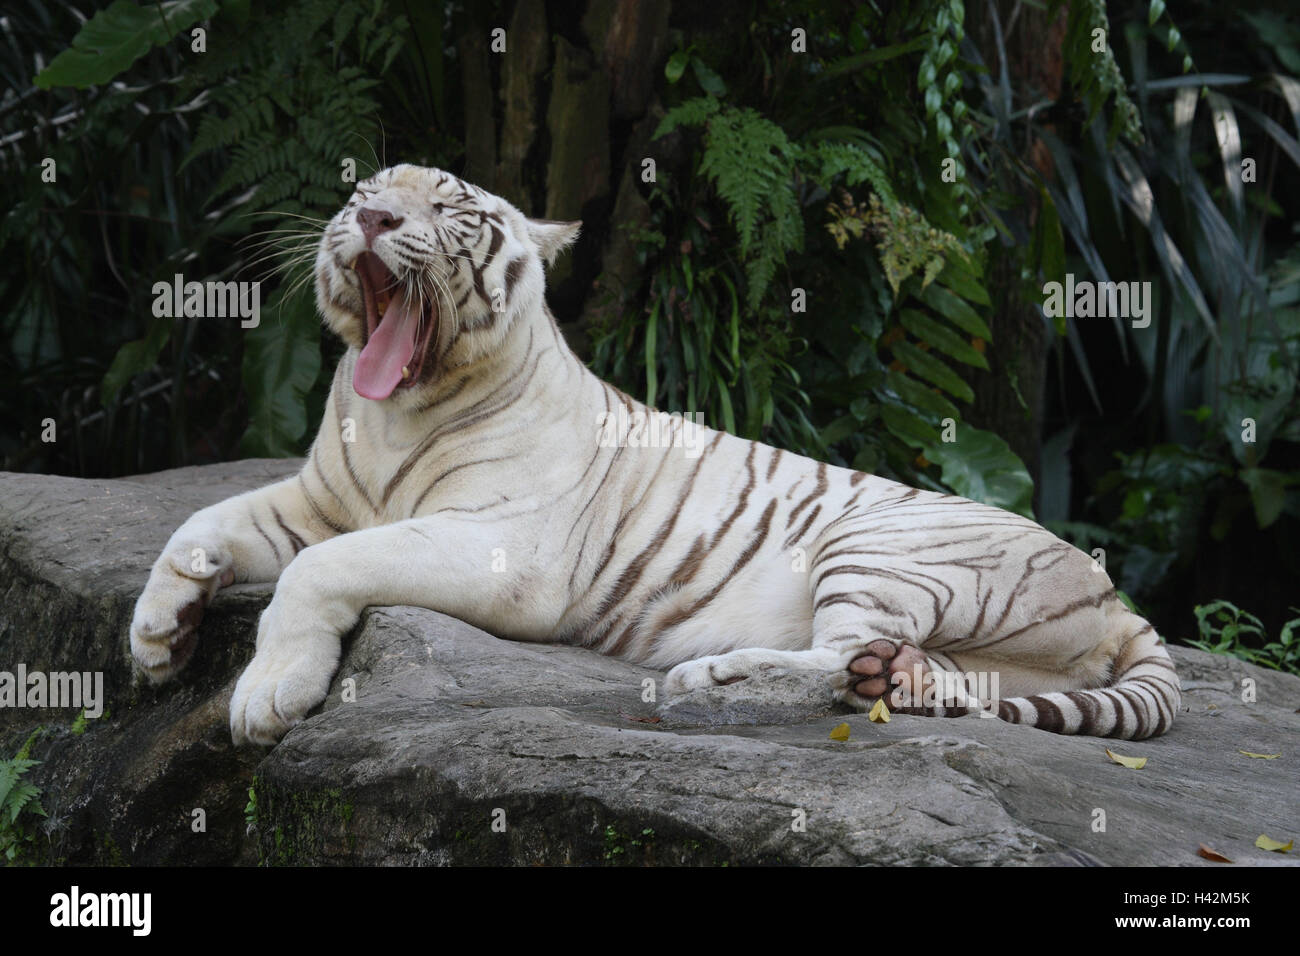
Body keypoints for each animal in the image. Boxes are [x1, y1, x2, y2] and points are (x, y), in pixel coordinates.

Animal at [129, 163, 1181, 746]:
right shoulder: (316, 498)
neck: (396, 411)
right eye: (363, 192)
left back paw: (717, 679)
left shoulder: (506, 551)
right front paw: (157, 636)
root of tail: (1115, 594)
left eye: (448, 208)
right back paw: (902, 678)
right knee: (903, 671)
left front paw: (266, 695)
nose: (375, 220)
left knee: (835, 654)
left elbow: (317, 569)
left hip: (884, 547)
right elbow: (198, 522)